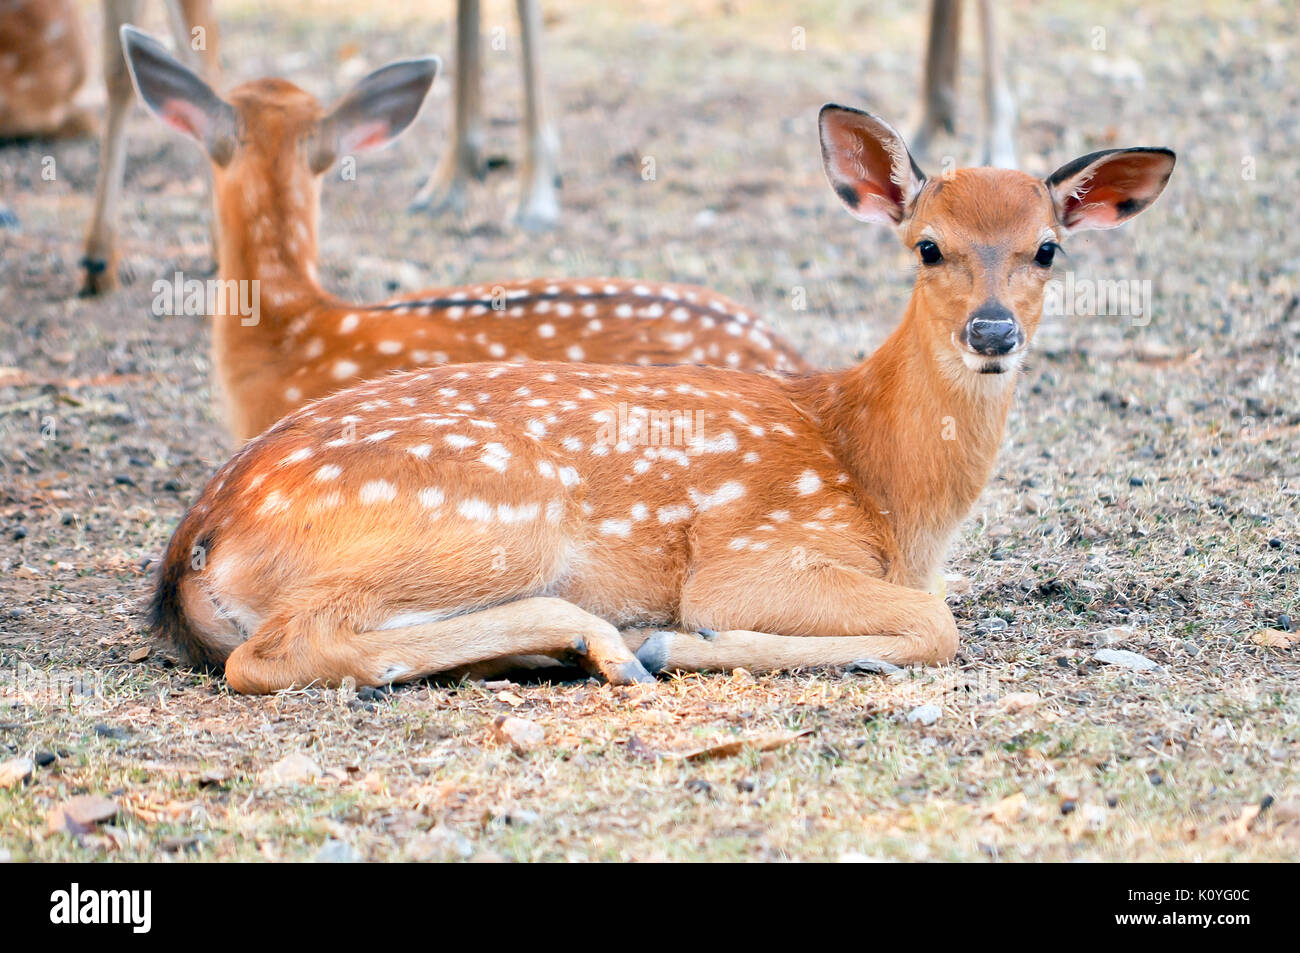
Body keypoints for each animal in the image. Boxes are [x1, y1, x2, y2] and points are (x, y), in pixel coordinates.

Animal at [147, 94, 1174, 693]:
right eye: (928, 245)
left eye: (1048, 248)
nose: (992, 332)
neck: (888, 493)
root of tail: (196, 539)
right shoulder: (756, 548)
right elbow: (935, 624)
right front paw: (680, 642)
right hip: (489, 511)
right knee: (274, 651)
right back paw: (606, 642)